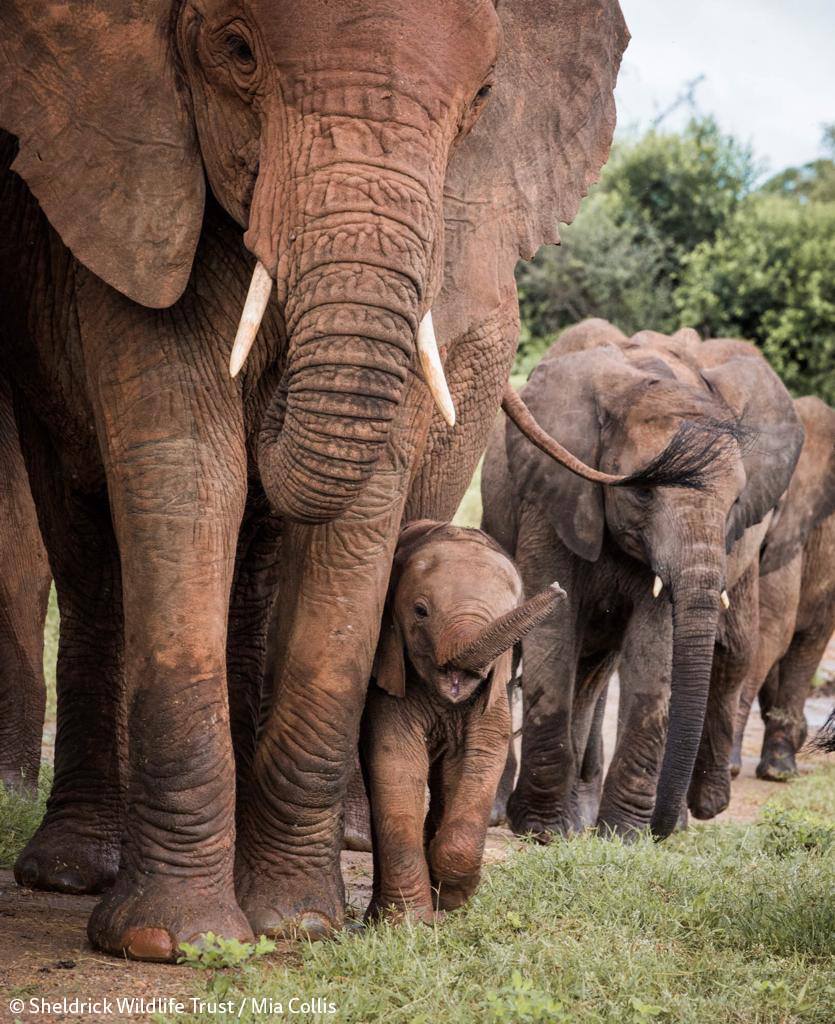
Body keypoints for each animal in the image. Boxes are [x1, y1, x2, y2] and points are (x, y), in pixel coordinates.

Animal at [362, 521, 562, 921]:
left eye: (509, 613)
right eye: (420, 611)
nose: (559, 586)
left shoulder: (493, 696)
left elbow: (482, 759)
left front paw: (451, 898)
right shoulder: (389, 675)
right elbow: (397, 762)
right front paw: (410, 922)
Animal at [482, 319, 804, 839]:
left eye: (737, 501)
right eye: (644, 491)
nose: (662, 827)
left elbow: (654, 647)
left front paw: (623, 834)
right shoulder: (553, 495)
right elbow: (552, 627)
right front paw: (541, 829)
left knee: (597, 673)